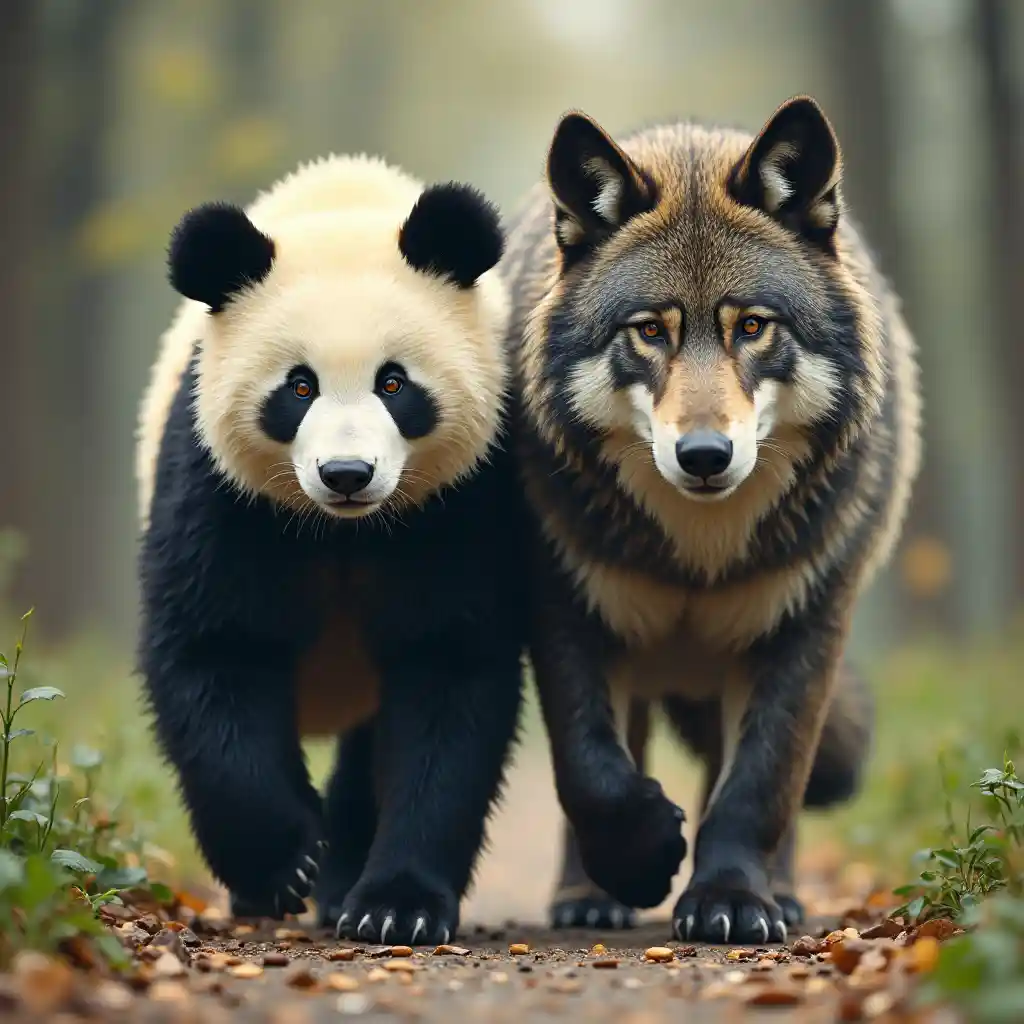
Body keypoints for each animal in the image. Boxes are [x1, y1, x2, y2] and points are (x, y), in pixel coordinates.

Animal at [135, 153, 526, 946]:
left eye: (395, 383)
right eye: (299, 387)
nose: (348, 474)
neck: (344, 529)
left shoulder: (463, 497)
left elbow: (450, 669)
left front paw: (397, 906)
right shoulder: (220, 489)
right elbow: (214, 647)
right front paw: (283, 863)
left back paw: (345, 875)